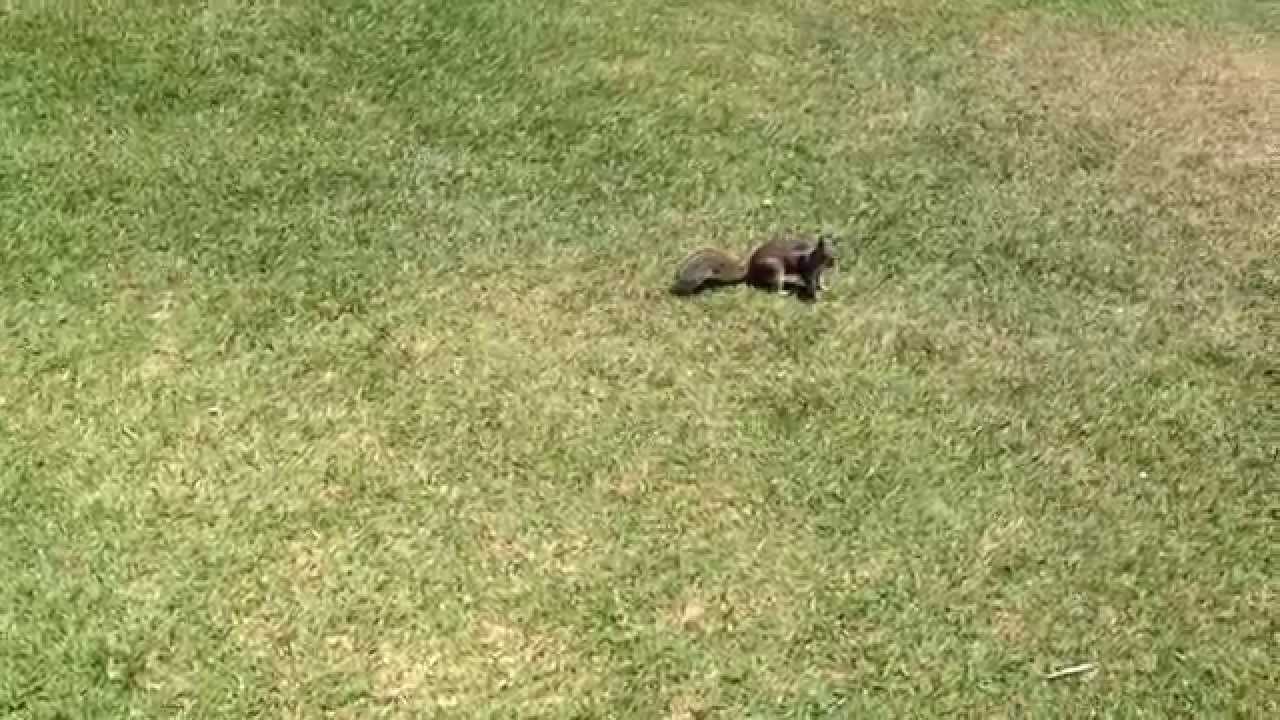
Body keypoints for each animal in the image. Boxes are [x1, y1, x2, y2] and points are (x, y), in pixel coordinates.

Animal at [670, 231, 838, 299]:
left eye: (837, 252)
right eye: (825, 254)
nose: (833, 264)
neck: (813, 258)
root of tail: (750, 269)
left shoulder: (818, 273)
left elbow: (820, 281)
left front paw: (824, 288)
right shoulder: (807, 270)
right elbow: (810, 283)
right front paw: (815, 296)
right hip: (775, 268)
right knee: (774, 287)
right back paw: (783, 292)